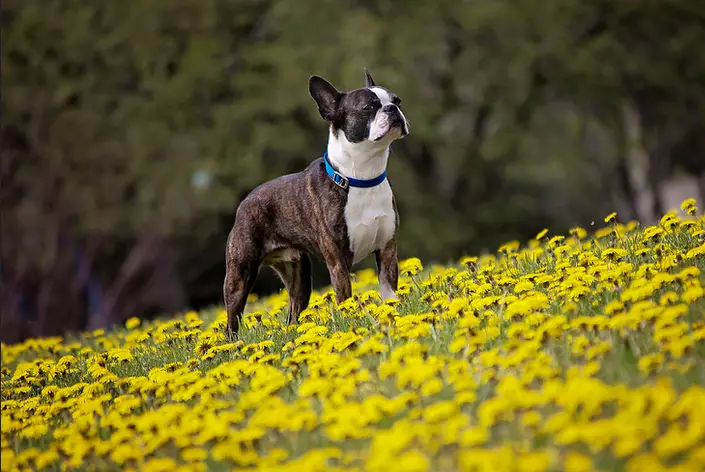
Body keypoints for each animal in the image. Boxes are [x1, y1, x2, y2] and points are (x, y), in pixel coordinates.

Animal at [223, 69, 404, 336]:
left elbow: (389, 293)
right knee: (232, 320)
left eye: (397, 100)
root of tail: (244, 202)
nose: (393, 109)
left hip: (299, 276)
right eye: (368, 107)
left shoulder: (387, 249)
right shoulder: (338, 261)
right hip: (239, 275)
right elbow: (345, 298)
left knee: (293, 314)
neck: (361, 178)